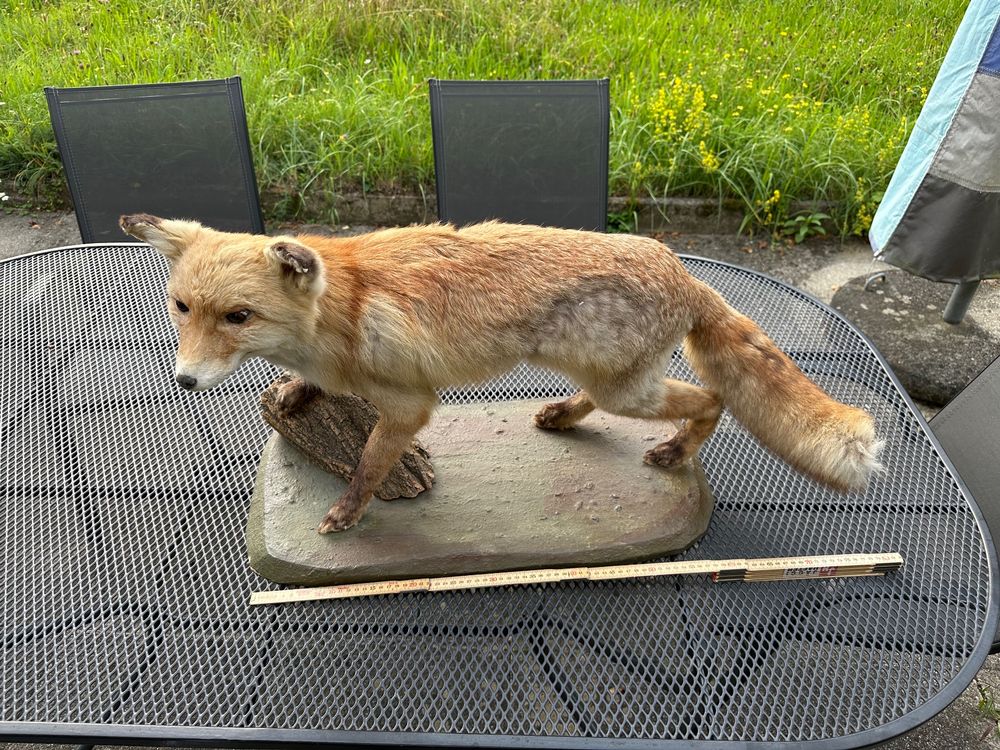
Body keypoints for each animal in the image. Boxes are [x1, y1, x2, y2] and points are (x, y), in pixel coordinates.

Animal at [120, 213, 882, 534]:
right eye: (181, 308)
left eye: (238, 316)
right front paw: (300, 392)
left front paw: (348, 512)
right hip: (613, 380)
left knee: (715, 396)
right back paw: (563, 415)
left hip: (629, 390)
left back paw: (674, 450)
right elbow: (319, 390)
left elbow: (368, 467)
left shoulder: (410, 406)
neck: (343, 310)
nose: (184, 381)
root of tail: (682, 269)